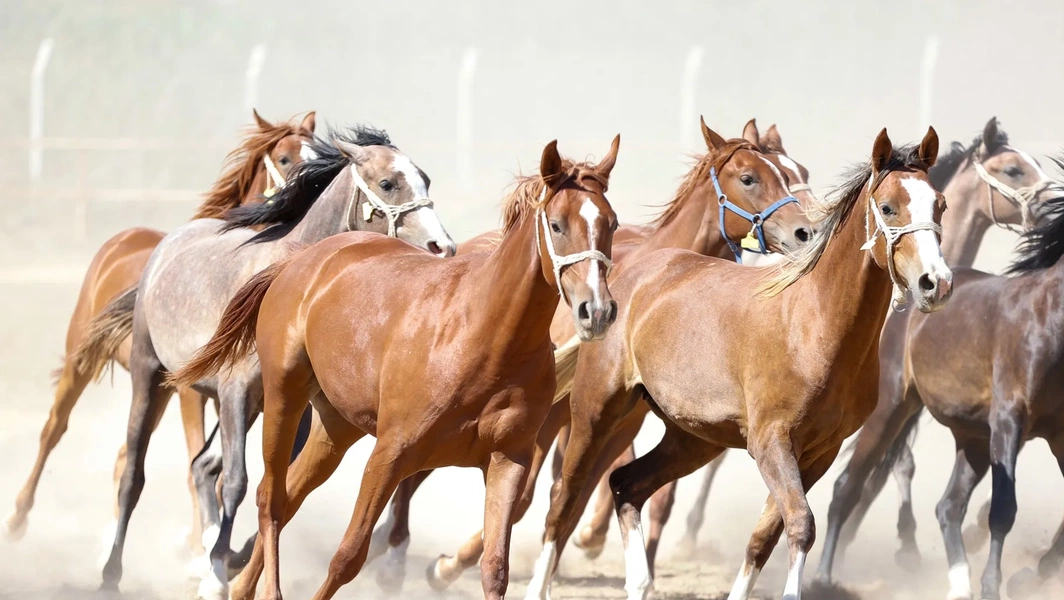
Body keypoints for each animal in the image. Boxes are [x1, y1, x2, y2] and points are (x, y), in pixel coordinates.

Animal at [2, 110, 316, 558]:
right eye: (285, 157)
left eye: (318, 151)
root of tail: (124, 238)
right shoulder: (191, 394)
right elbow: (197, 465)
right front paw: (200, 548)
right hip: (84, 361)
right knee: (54, 430)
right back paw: (17, 519)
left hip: (156, 389)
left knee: (123, 453)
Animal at [72, 124, 455, 600]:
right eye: (388, 183)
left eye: (426, 179)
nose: (443, 247)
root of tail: (167, 244)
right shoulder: (236, 392)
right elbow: (237, 481)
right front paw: (217, 574)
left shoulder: (297, 407)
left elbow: (282, 486)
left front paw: (232, 559)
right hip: (151, 374)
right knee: (135, 473)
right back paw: (112, 572)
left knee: (202, 466)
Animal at [170, 137, 622, 600]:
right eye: (557, 225)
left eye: (612, 223)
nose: (597, 310)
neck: (483, 336)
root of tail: (301, 260)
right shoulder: (390, 454)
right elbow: (348, 555)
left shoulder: (507, 460)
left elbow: (495, 568)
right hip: (283, 397)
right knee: (270, 497)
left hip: (336, 427)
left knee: (291, 494)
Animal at [367, 118, 816, 595]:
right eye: (750, 178)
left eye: (795, 172)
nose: (805, 232)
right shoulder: (553, 417)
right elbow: (536, 495)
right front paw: (452, 564)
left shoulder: (620, 418)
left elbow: (581, 495)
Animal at [526, 127, 953, 600]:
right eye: (888, 206)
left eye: (940, 203)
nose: (935, 283)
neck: (815, 324)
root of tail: (620, 280)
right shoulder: (771, 442)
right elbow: (801, 526)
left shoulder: (820, 451)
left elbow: (763, 538)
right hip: (596, 410)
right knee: (564, 501)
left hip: (693, 439)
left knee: (626, 485)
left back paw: (638, 581)